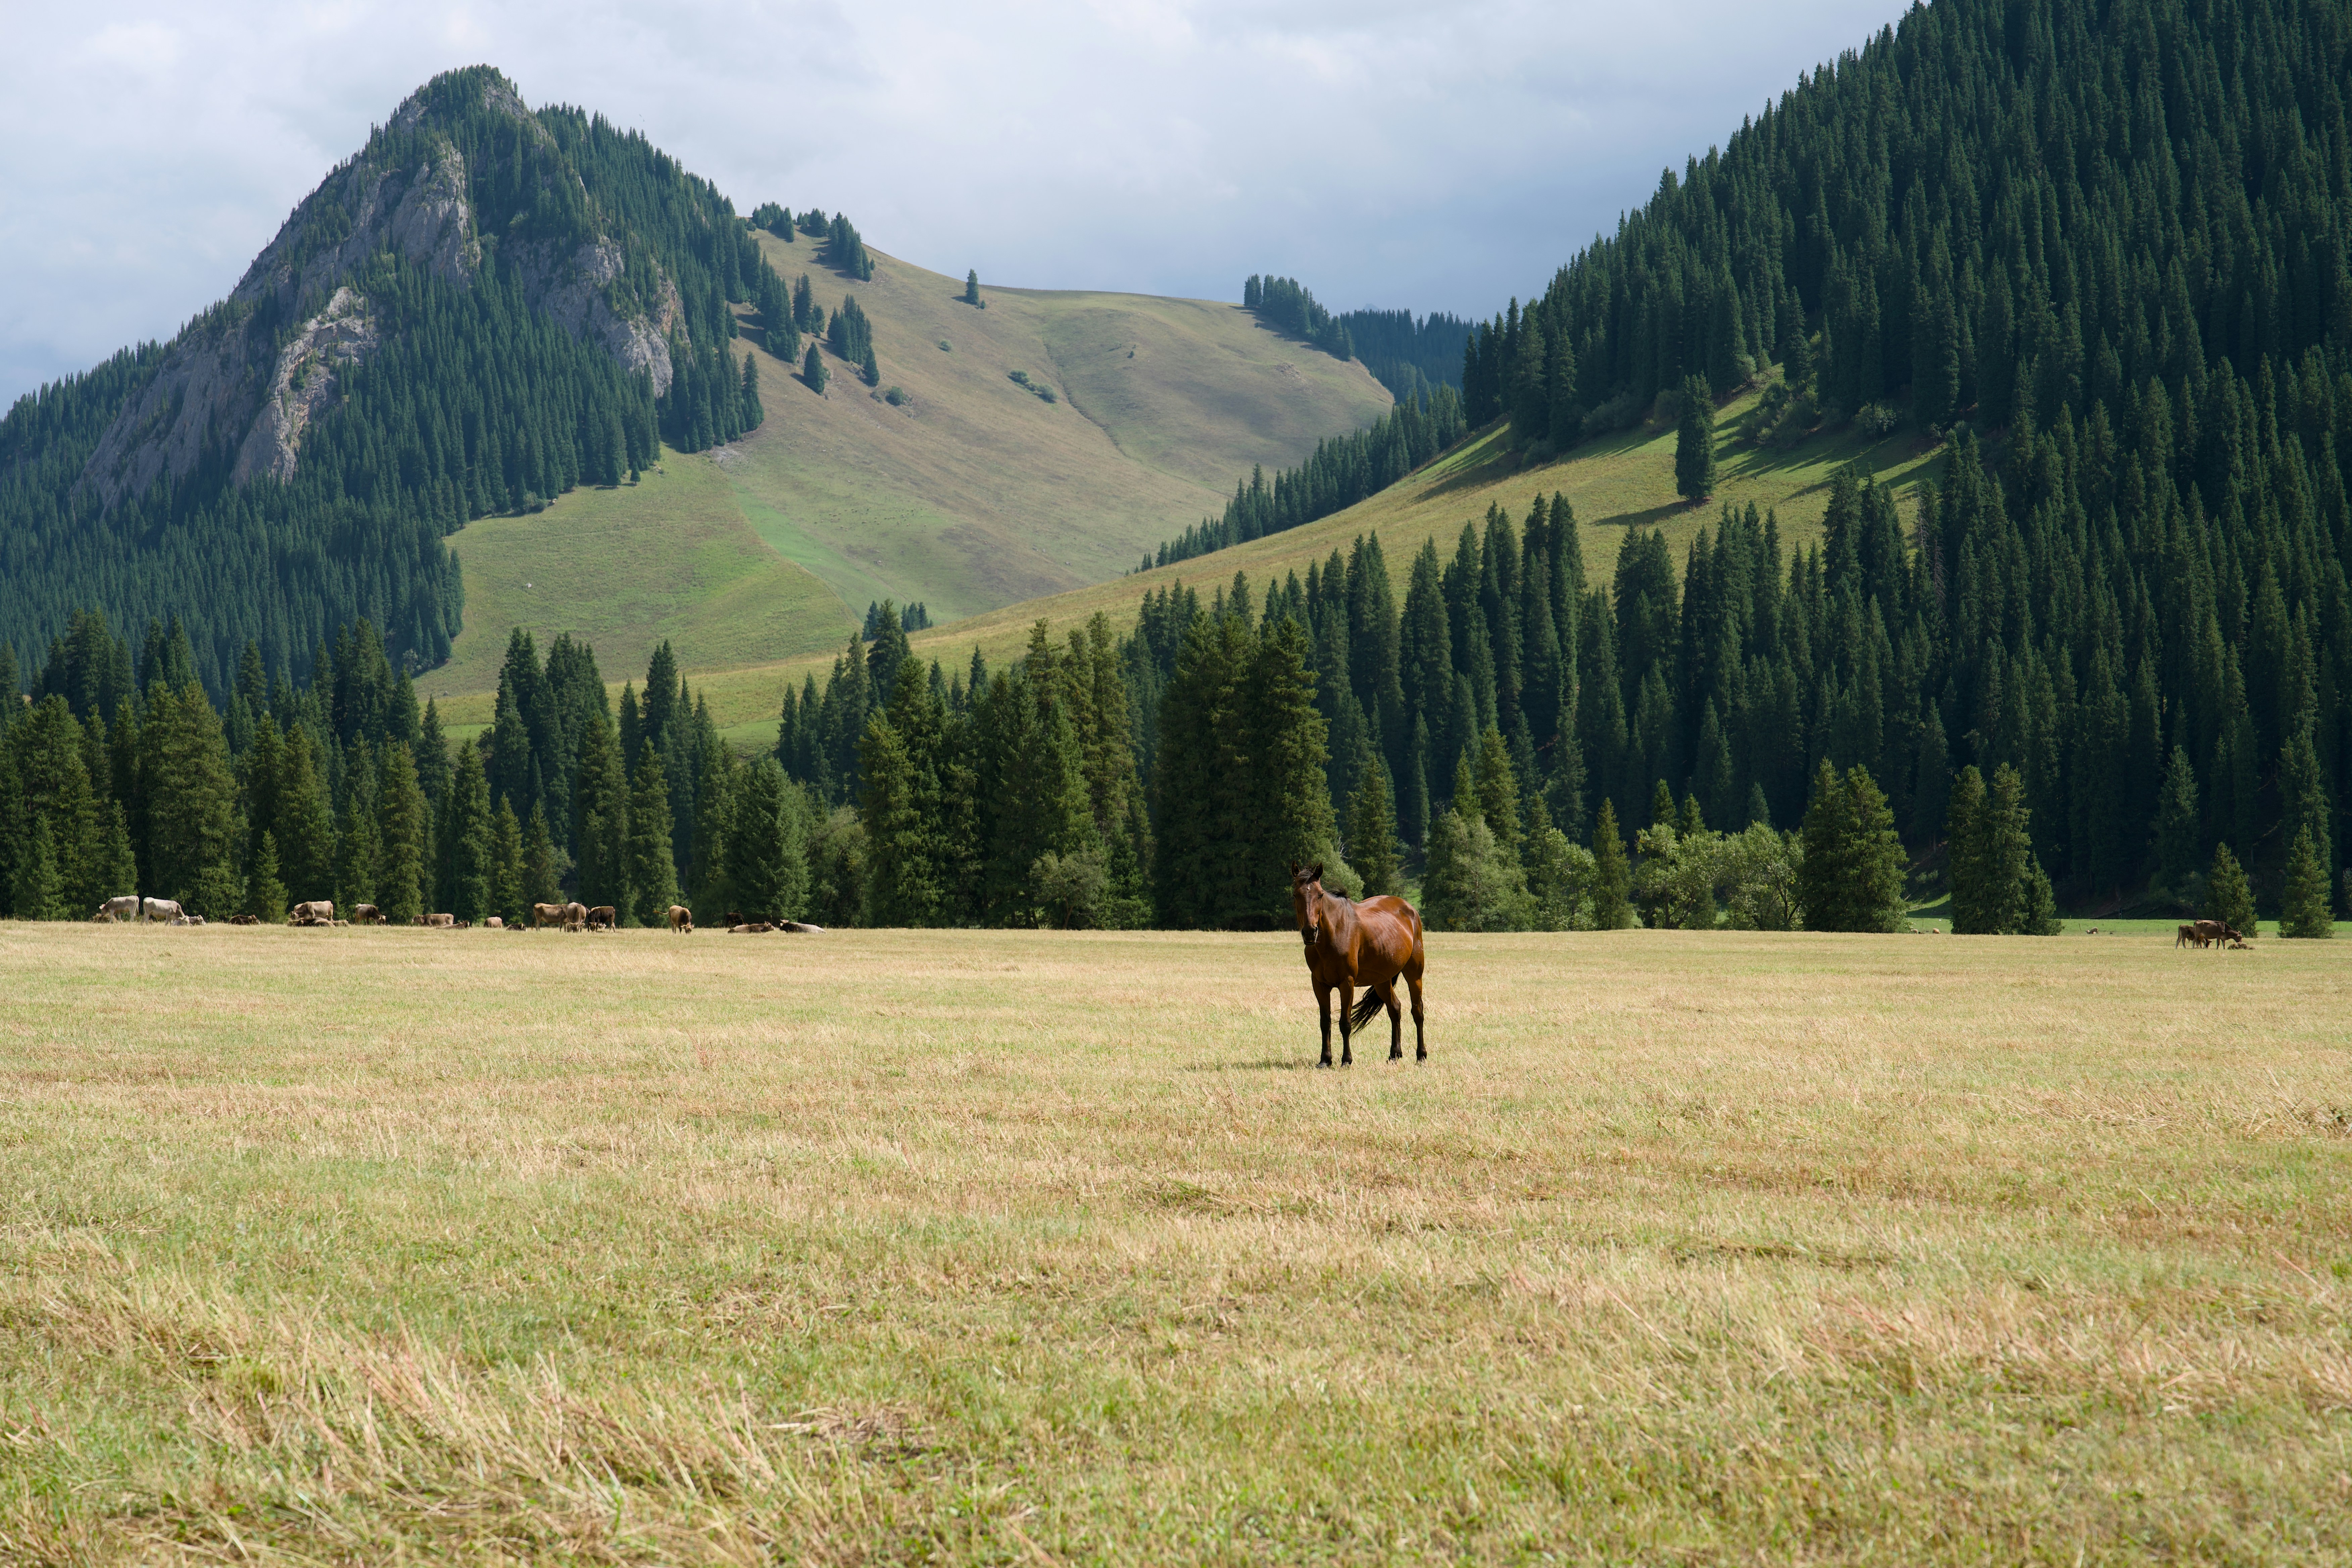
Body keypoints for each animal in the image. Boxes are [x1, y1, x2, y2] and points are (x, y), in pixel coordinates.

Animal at [1288, 861, 1426, 1067]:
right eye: (1296, 895)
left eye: (1320, 895)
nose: (1310, 932)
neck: (1333, 934)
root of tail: (1410, 910)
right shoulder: (1319, 985)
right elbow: (1325, 1022)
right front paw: (1325, 1060)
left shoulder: (1347, 983)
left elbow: (1345, 1023)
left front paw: (1346, 1060)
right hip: (1382, 981)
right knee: (1395, 1009)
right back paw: (1394, 1054)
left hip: (1414, 975)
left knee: (1417, 1012)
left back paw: (1421, 1056)